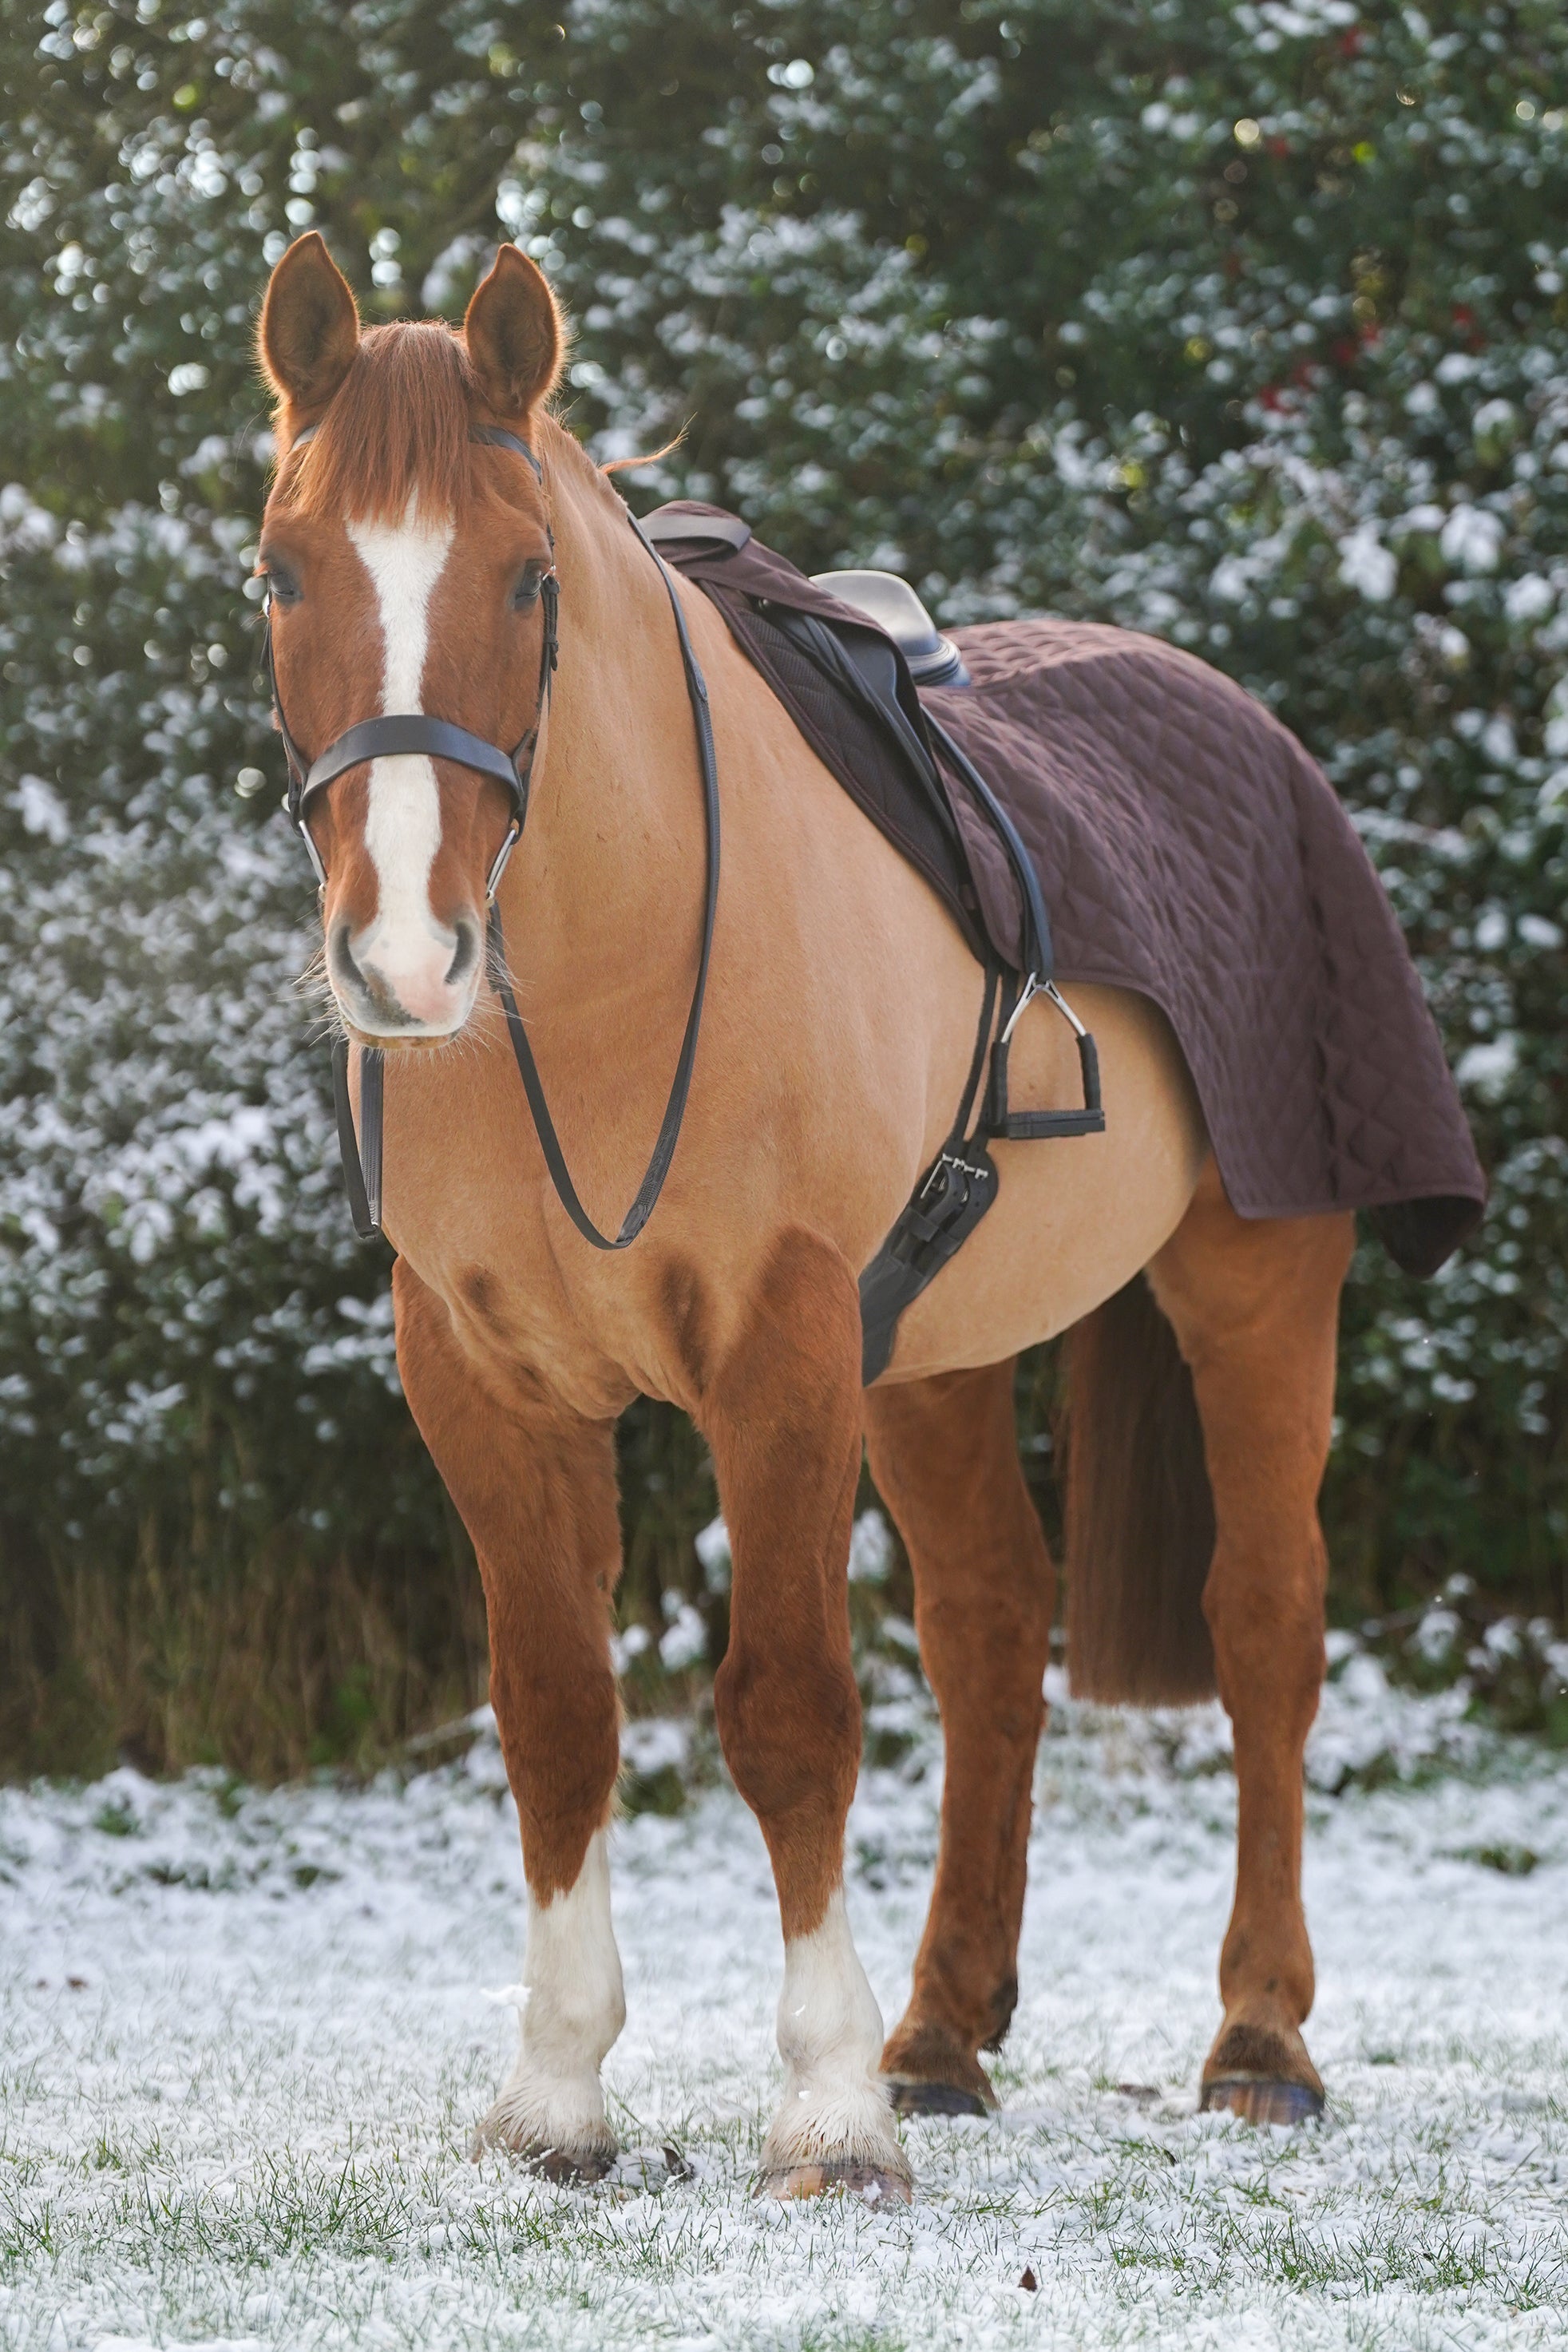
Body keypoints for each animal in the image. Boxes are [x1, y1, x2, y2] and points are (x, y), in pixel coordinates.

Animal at [253, 231, 1354, 2199]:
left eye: (529, 578)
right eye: (281, 571)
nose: (404, 956)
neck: (597, 984)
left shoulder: (774, 1349)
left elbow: (788, 1711)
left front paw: (825, 2110)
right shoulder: (484, 1381)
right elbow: (557, 1715)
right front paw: (559, 2093)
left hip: (1253, 1291)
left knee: (1262, 1628)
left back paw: (1253, 2038)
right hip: (925, 1356)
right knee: (991, 1632)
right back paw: (941, 2034)